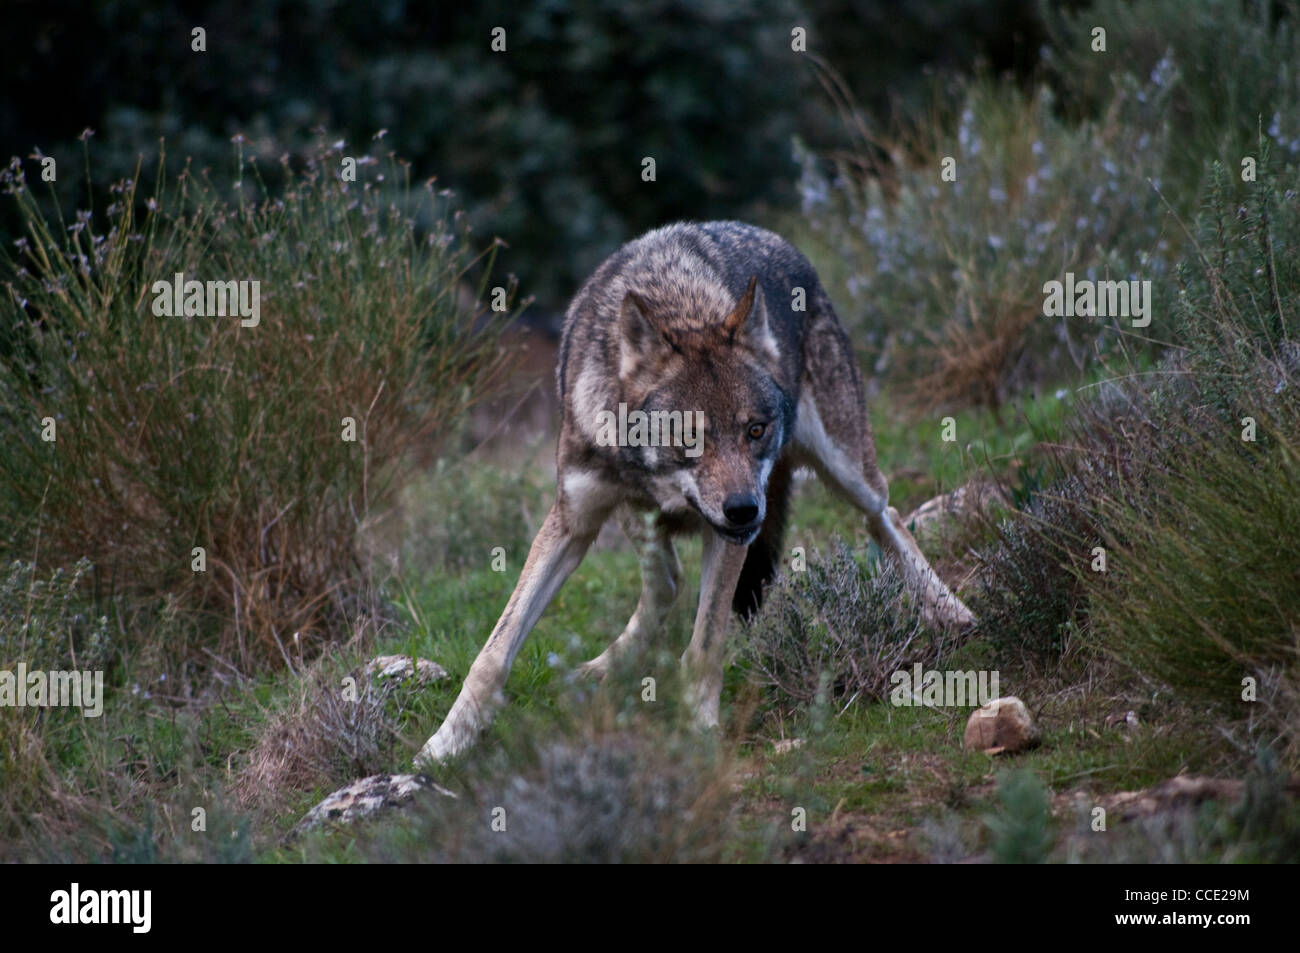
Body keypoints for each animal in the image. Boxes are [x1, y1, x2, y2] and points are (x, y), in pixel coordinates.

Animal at [416, 221, 973, 765]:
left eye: (754, 430)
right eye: (690, 436)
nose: (745, 509)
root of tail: (780, 241)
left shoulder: (727, 537)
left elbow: (704, 648)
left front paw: (701, 731)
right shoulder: (572, 522)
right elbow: (493, 653)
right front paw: (444, 744)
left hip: (846, 467)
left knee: (886, 516)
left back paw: (950, 612)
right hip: (631, 515)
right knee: (666, 580)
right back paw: (604, 667)